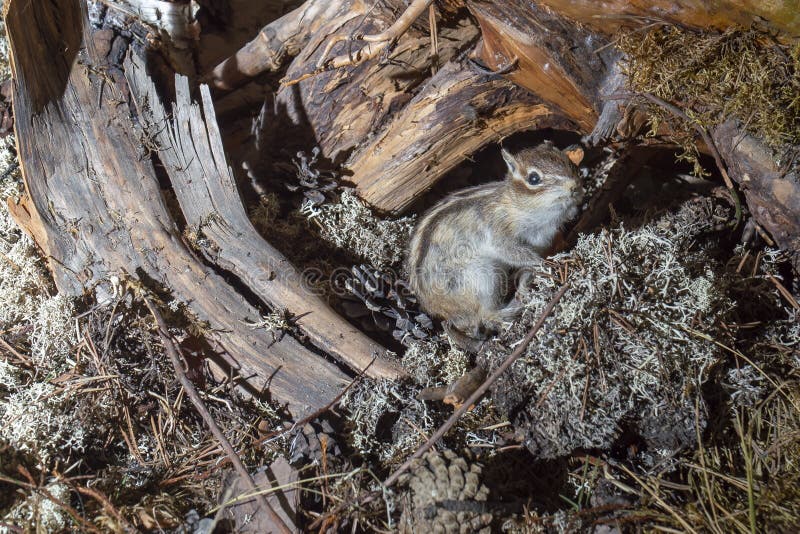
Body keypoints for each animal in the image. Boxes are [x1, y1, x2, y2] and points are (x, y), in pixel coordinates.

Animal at [406, 141, 585, 349]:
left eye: (566, 161)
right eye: (533, 178)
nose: (574, 186)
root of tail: (438, 310)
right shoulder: (499, 233)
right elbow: (513, 252)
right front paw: (545, 263)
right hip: (483, 276)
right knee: (485, 316)